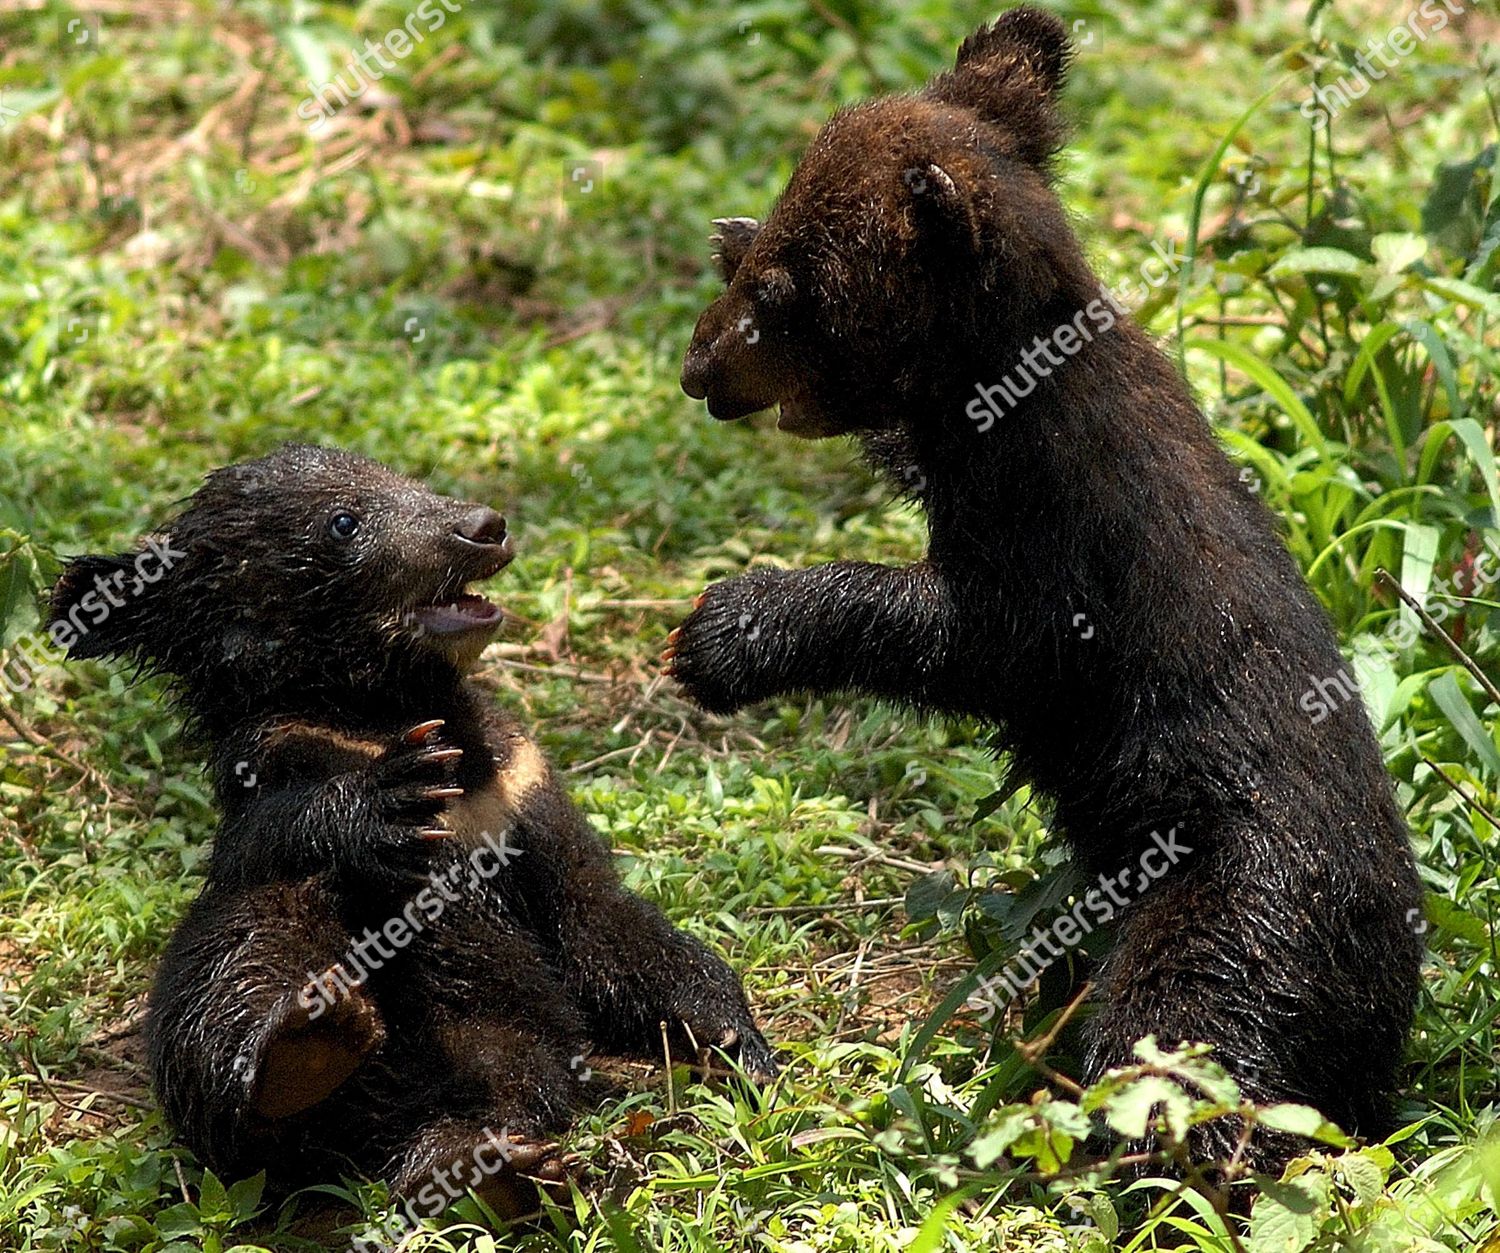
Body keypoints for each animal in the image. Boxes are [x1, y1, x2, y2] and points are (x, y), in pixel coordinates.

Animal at [49, 443, 775, 1215]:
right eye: (343, 521)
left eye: (406, 480)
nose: (485, 526)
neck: (386, 711)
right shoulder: (281, 769)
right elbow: (273, 853)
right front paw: (392, 798)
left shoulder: (523, 786)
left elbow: (601, 921)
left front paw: (739, 1045)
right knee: (237, 968)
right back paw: (309, 1047)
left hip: (510, 1048)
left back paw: (502, 1171)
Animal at [666, 7, 1424, 1172]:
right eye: (761, 262)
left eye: (788, 296)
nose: (699, 369)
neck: (997, 401)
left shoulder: (1062, 554)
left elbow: (967, 635)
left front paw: (724, 633)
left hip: (1228, 913)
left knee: (1186, 1058)